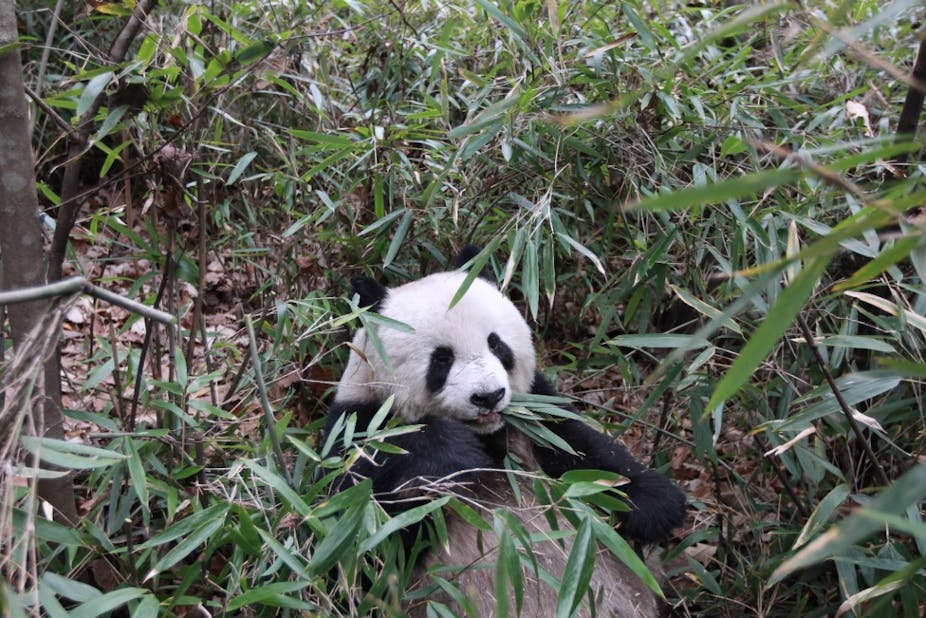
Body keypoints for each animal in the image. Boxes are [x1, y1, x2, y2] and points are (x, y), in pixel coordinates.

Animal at [324, 249, 686, 617]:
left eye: (496, 344)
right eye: (441, 359)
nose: (488, 396)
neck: (488, 433)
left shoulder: (536, 412)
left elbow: (582, 450)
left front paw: (656, 506)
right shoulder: (355, 423)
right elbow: (358, 527)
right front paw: (455, 455)